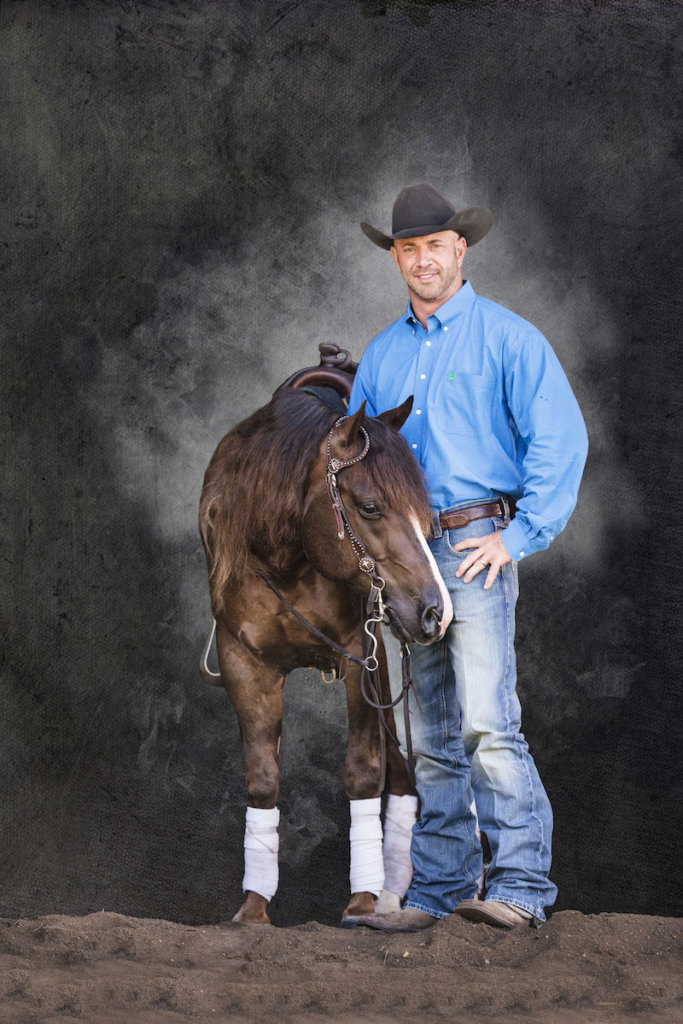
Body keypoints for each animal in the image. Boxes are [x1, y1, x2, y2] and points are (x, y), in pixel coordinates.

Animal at [198, 382, 452, 925]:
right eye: (371, 506)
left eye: (424, 511)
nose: (435, 612)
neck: (283, 554)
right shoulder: (243, 663)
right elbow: (262, 780)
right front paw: (253, 908)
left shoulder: (361, 659)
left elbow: (362, 771)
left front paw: (361, 899)